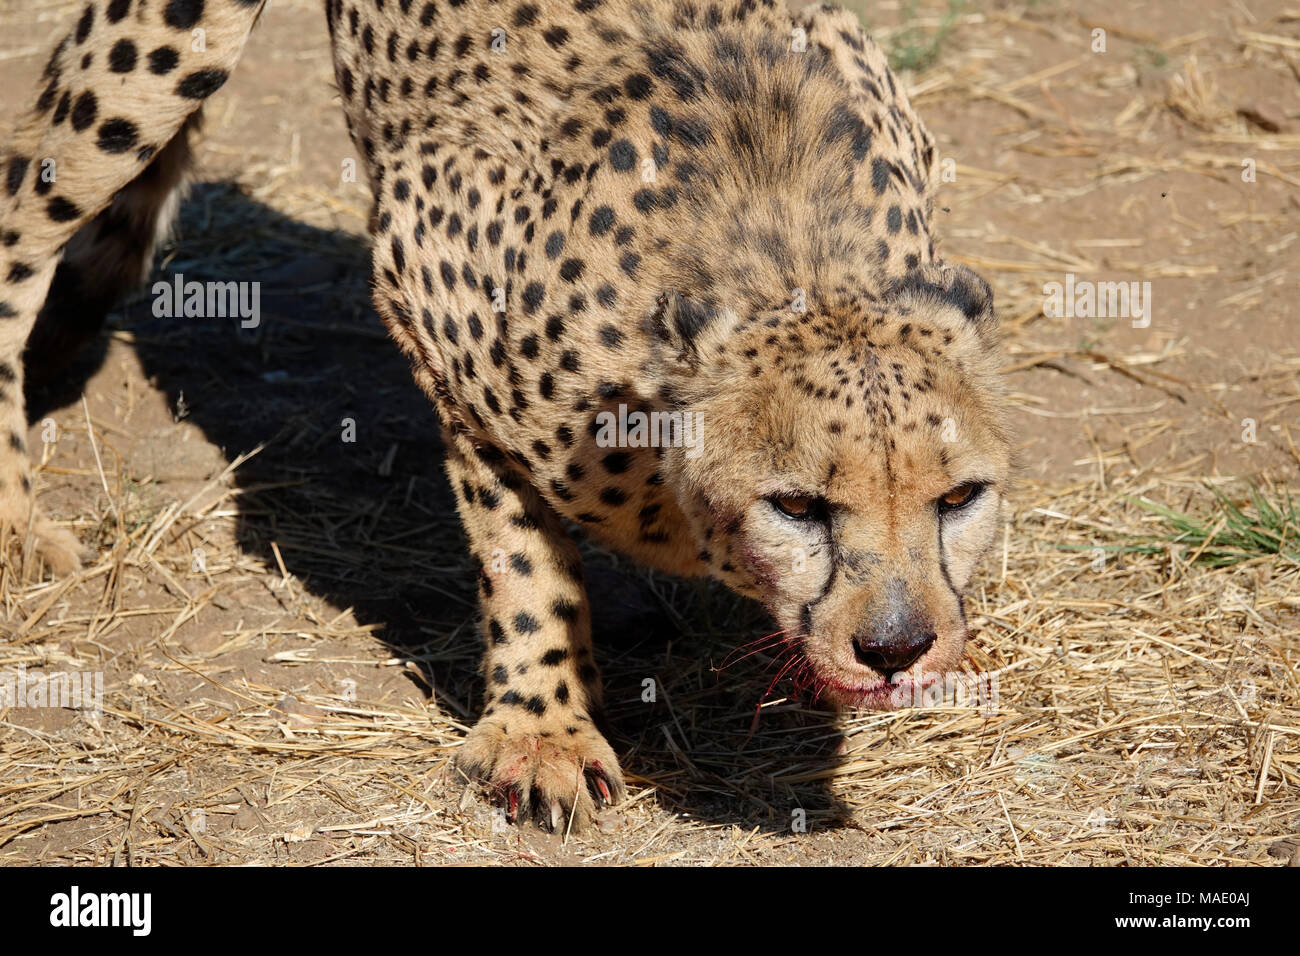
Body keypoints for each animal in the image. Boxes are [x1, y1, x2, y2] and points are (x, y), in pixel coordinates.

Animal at [0, 0, 1011, 830]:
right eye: (796, 505)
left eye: (959, 498)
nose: (895, 649)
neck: (786, 249)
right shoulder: (423, 281)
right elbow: (524, 558)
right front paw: (544, 733)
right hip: (162, 49)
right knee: (22, 213)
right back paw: (16, 513)